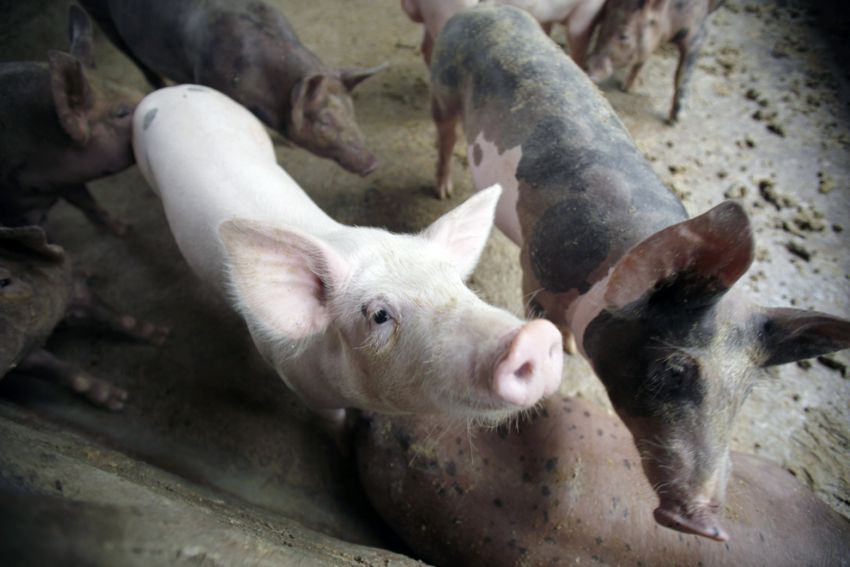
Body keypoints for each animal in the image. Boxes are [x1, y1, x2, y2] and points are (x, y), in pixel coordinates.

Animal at [1, 226, 169, 410]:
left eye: (4, 282)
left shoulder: (70, 285)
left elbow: (113, 315)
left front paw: (162, 337)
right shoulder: (22, 356)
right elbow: (57, 370)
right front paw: (117, 401)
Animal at [132, 84, 564, 425]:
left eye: (459, 283)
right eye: (379, 315)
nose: (535, 336)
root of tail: (170, 92)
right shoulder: (302, 387)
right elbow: (334, 420)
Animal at [585, 0, 725, 123]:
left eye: (624, 36)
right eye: (601, 23)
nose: (587, 69)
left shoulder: (697, 35)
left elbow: (682, 74)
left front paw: (675, 120)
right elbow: (641, 61)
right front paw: (628, 88)